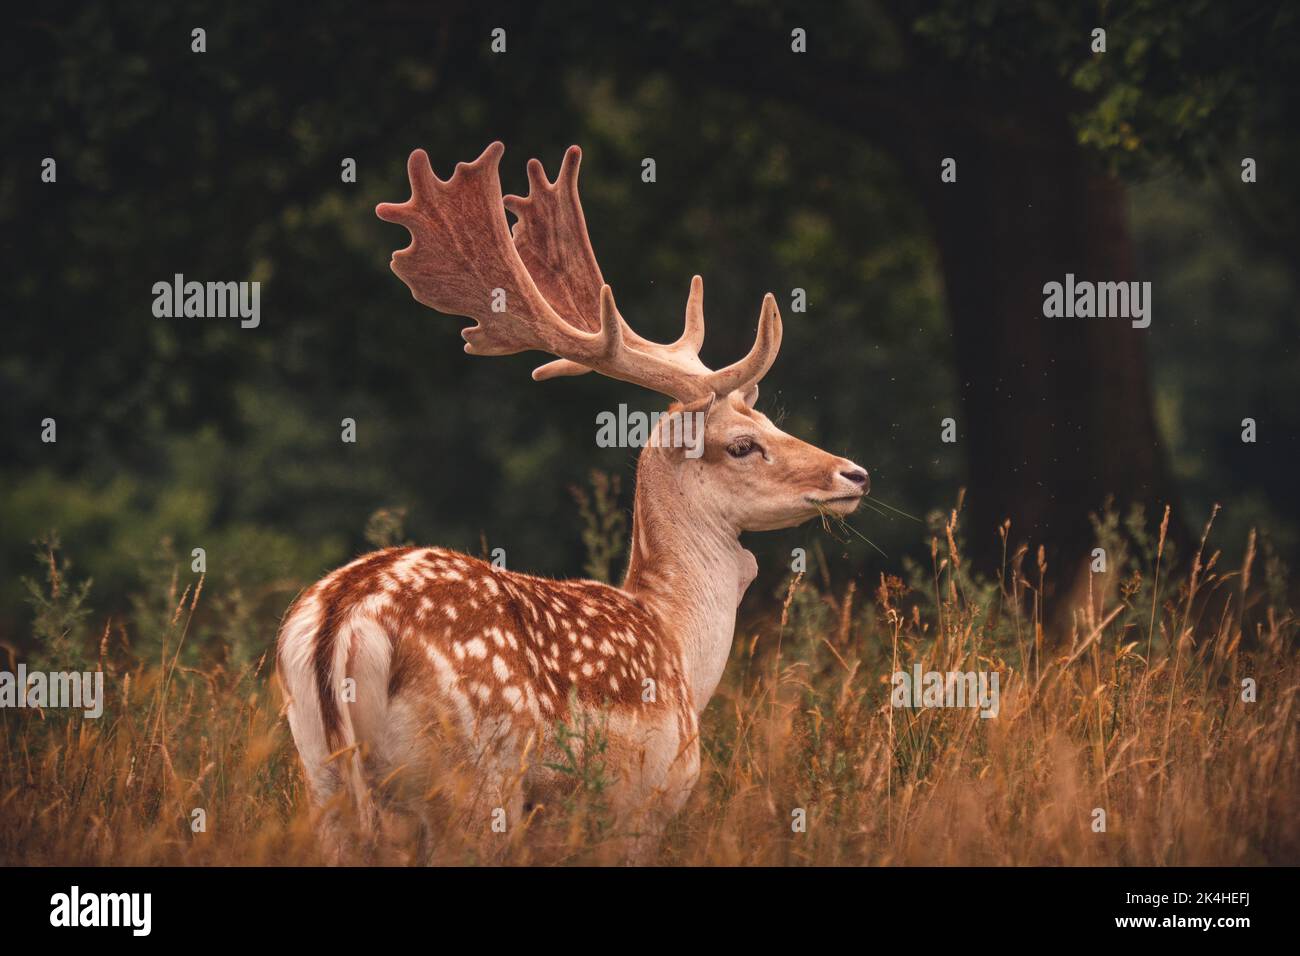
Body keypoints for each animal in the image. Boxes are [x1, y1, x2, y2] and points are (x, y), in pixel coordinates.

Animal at [276, 141, 869, 863]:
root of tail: (343, 624)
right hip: (477, 777)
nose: (853, 473)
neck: (678, 645)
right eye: (742, 445)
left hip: (322, 778)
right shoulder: (642, 801)